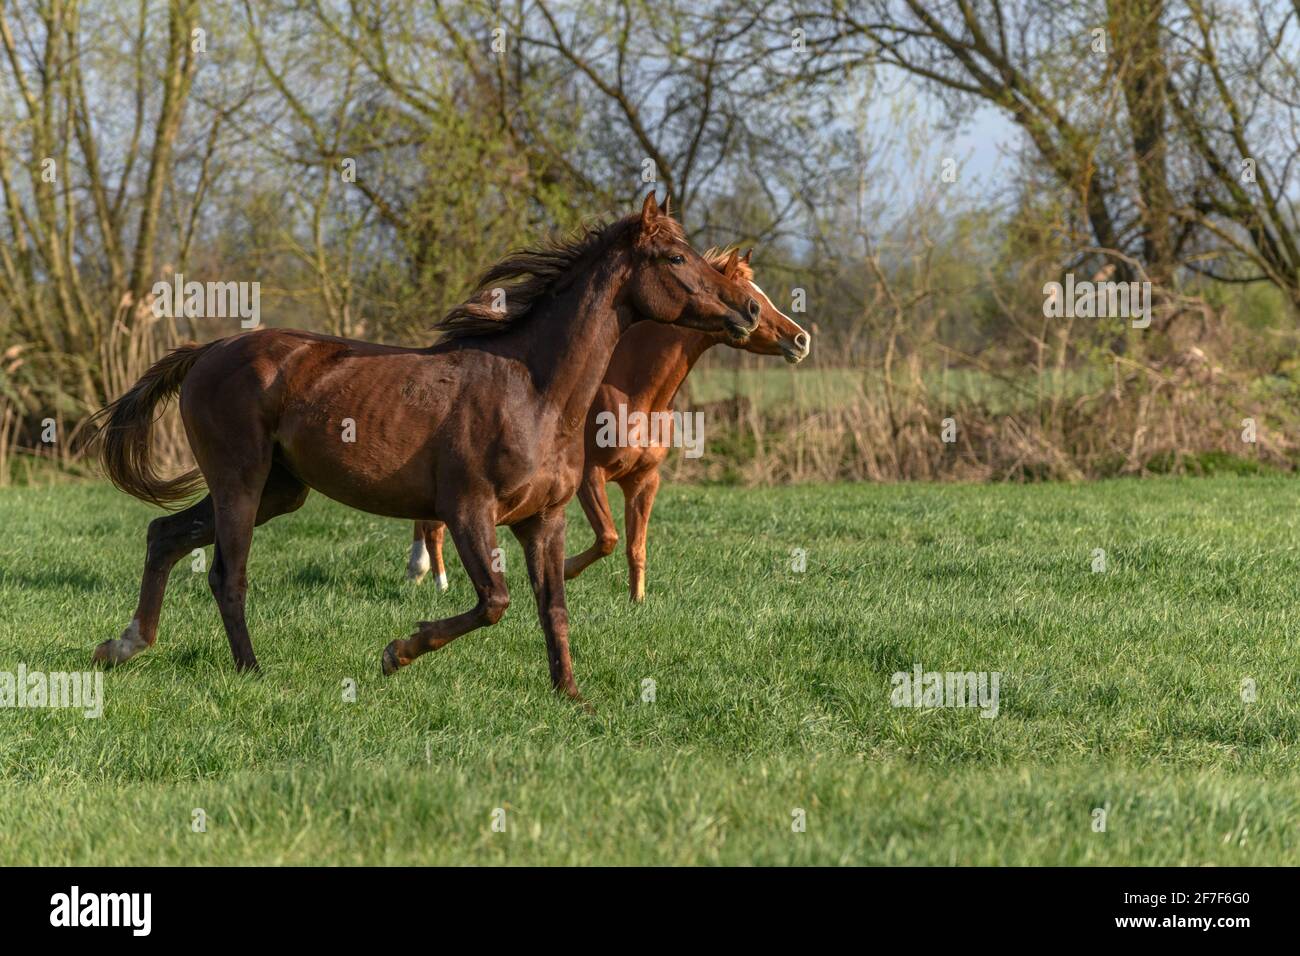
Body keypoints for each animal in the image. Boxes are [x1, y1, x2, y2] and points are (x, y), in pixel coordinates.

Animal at [89, 192, 762, 703]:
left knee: (164, 535)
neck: (535, 390)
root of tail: (208, 350)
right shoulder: (468, 511)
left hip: (280, 490)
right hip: (241, 483)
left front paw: (572, 696)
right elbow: (495, 602)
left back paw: (122, 646)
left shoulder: (544, 519)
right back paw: (252, 671)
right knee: (227, 575)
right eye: (675, 256)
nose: (749, 310)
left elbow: (554, 608)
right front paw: (397, 652)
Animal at [408, 247, 810, 601]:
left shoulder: (644, 481)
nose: (801, 339)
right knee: (434, 522)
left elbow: (636, 546)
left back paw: (423, 571)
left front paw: (637, 601)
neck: (636, 397)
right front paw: (567, 568)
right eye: (749, 297)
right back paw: (436, 579)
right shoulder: (591, 476)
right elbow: (608, 537)